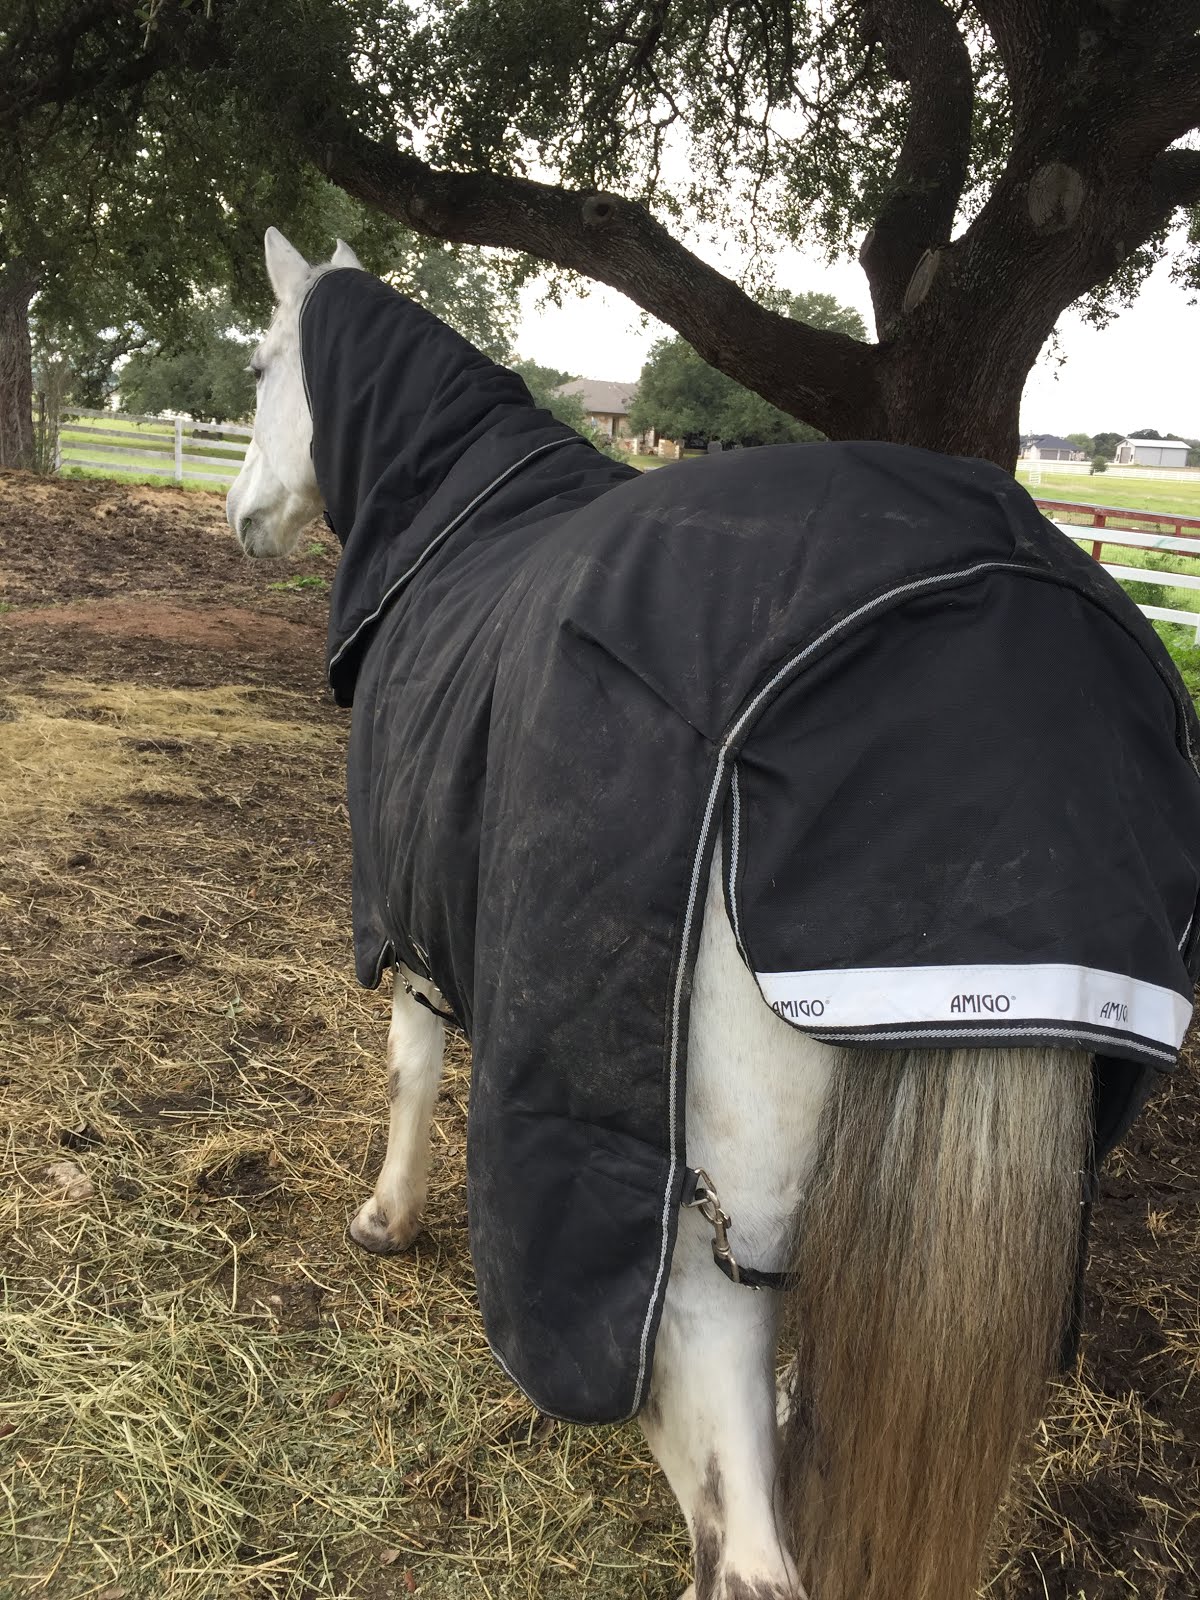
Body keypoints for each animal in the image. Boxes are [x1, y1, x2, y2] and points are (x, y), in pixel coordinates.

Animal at [225, 228, 1200, 1600]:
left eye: (260, 367)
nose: (241, 517)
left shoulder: (412, 918)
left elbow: (412, 1068)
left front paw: (386, 1218)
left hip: (695, 1259)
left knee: (745, 1552)